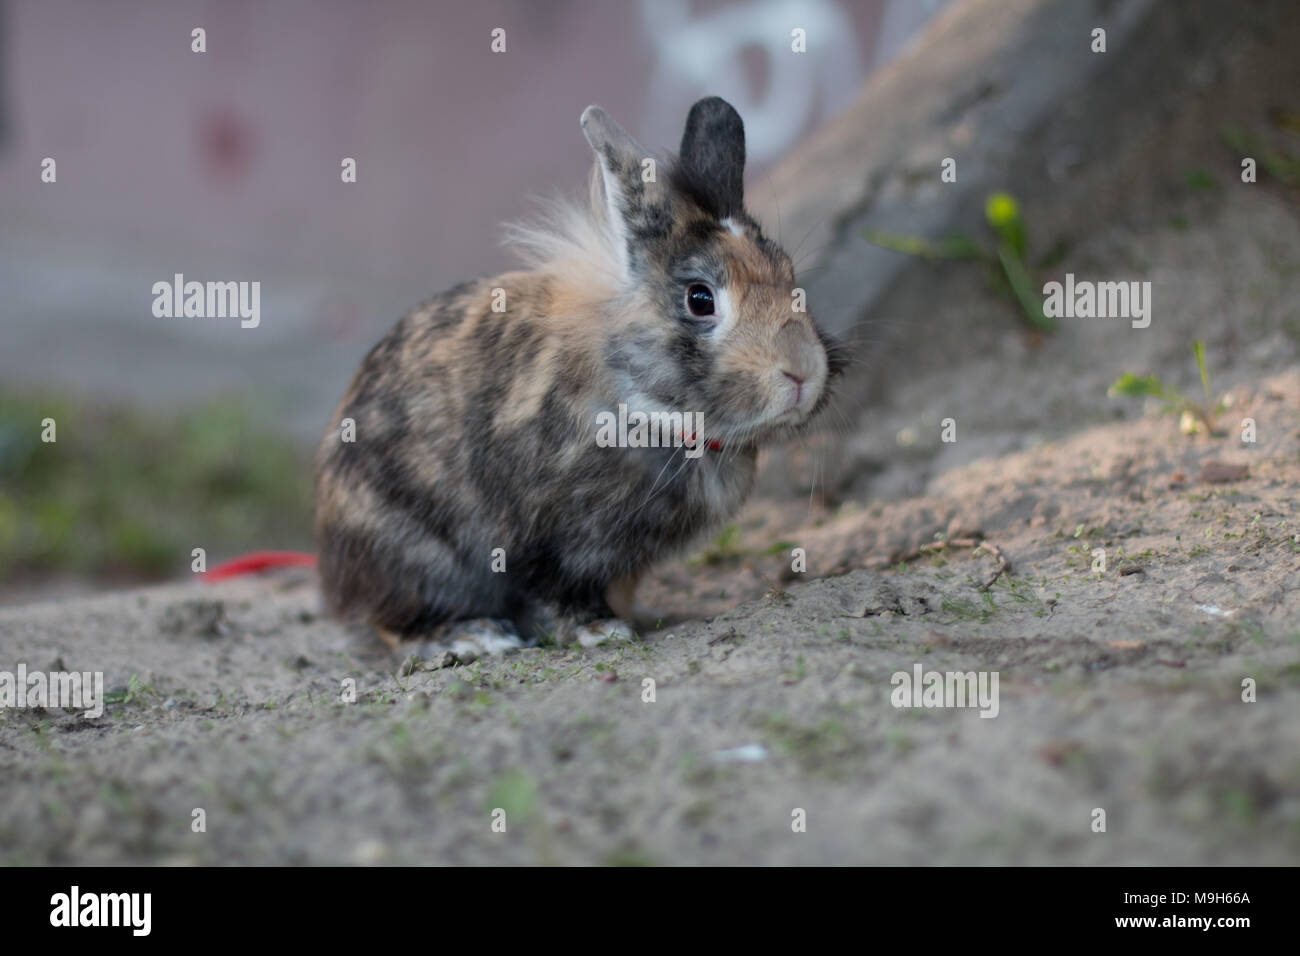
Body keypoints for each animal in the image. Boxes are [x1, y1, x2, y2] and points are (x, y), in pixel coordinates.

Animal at [314, 96, 843, 660]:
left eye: (789, 275)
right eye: (700, 299)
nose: (802, 372)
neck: (646, 408)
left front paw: (630, 617)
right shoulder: (546, 539)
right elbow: (557, 587)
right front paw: (600, 630)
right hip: (415, 552)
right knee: (391, 617)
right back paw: (471, 636)